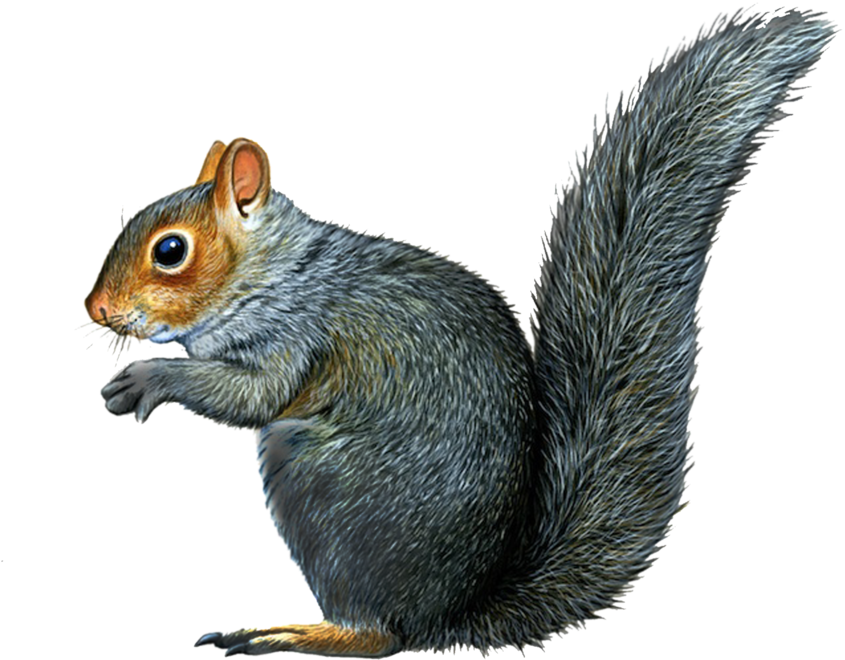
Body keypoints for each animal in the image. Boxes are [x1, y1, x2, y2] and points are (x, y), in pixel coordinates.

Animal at [81, 6, 836, 658]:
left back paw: (294, 633)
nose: (96, 310)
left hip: (322, 491)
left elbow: (254, 397)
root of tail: (450, 615)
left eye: (170, 251)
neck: (277, 270)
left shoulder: (297, 332)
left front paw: (150, 378)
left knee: (380, 638)